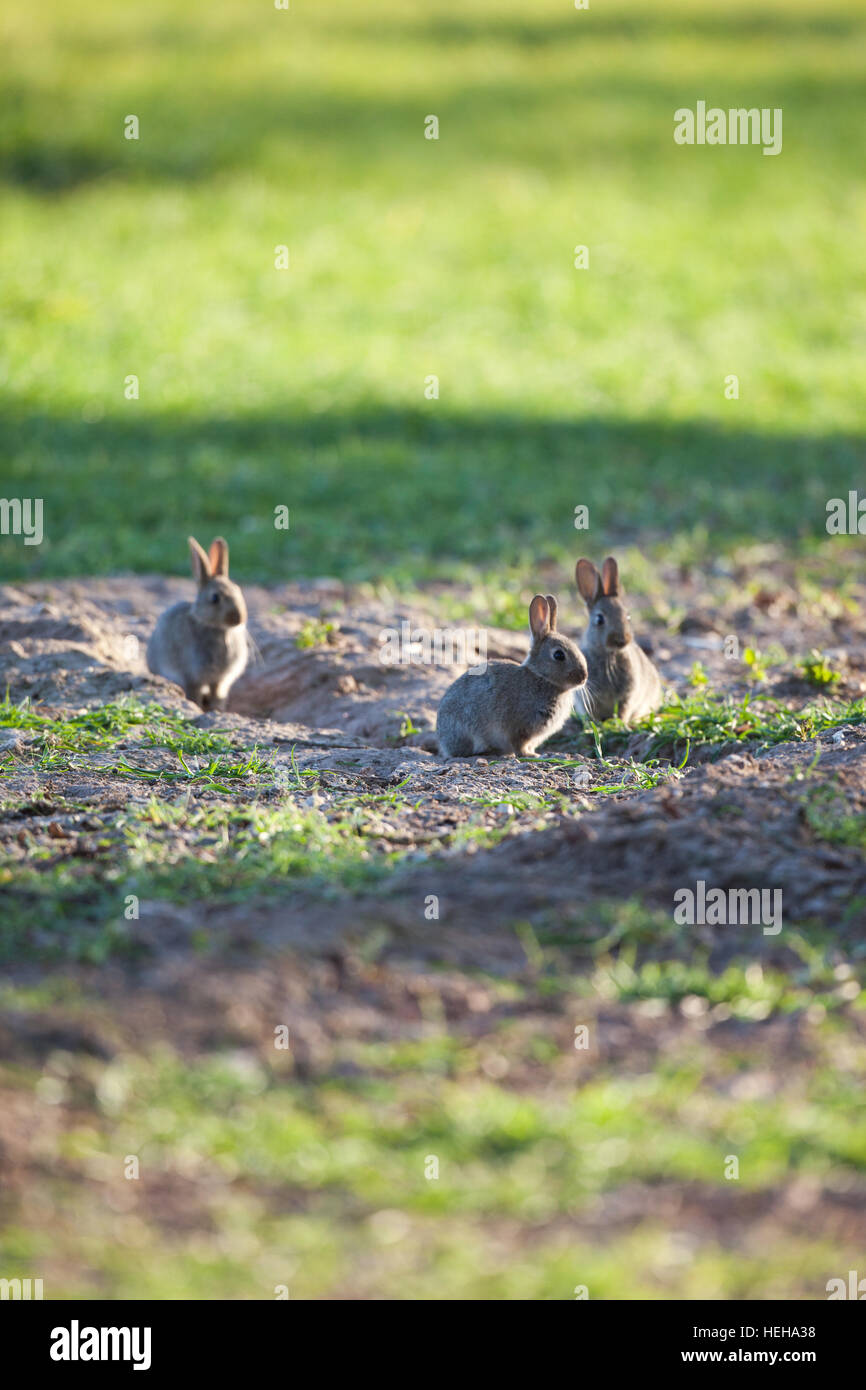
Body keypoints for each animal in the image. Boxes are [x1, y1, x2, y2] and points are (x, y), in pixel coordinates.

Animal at [147, 536, 249, 710]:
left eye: (238, 590)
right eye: (215, 598)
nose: (239, 618)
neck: (219, 630)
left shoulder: (220, 680)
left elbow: (217, 695)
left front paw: (217, 710)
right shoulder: (193, 677)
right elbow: (194, 695)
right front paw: (200, 708)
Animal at [436, 594, 588, 758]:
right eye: (559, 655)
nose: (583, 677)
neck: (542, 677)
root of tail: (442, 739)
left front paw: (533, 753)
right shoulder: (519, 728)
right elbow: (519, 744)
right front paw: (531, 755)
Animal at [574, 556, 662, 724]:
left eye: (628, 617)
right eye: (599, 619)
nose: (622, 640)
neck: (609, 656)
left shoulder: (628, 695)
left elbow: (623, 710)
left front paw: (619, 723)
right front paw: (594, 724)